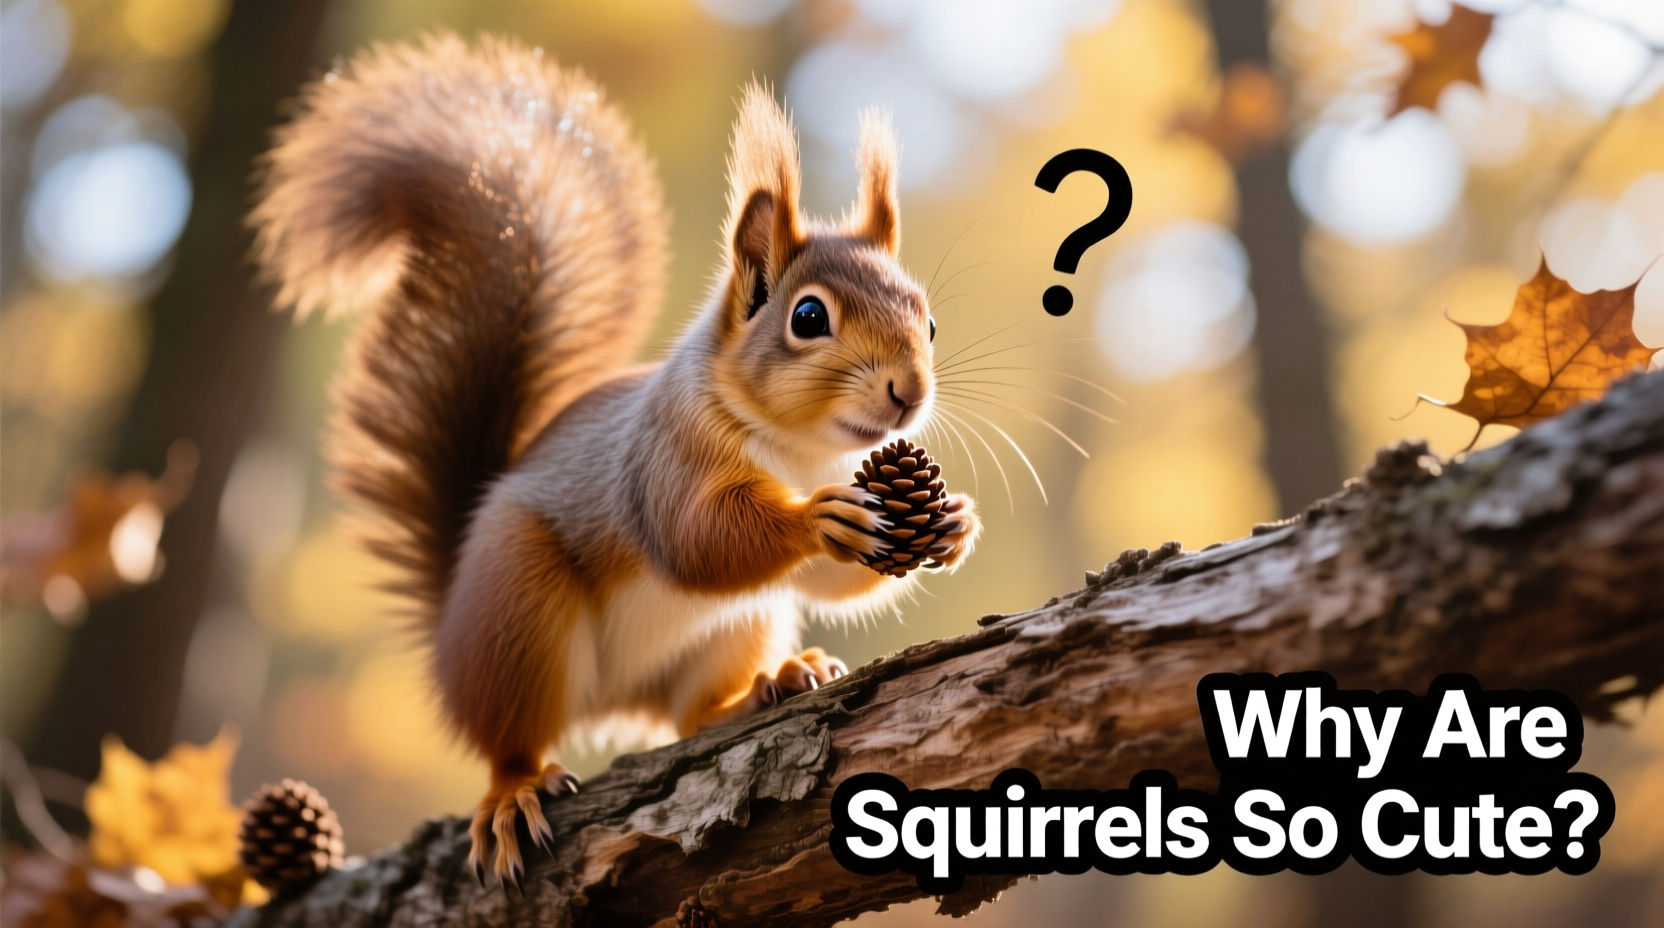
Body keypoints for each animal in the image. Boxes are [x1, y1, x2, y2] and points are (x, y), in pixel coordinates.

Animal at [250, 33, 980, 886]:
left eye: (928, 322)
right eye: (807, 317)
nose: (909, 391)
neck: (798, 452)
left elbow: (830, 584)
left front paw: (954, 522)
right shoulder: (664, 458)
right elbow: (699, 542)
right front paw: (816, 520)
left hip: (739, 625)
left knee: (689, 716)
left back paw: (770, 683)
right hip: (517, 607)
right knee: (512, 739)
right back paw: (515, 790)